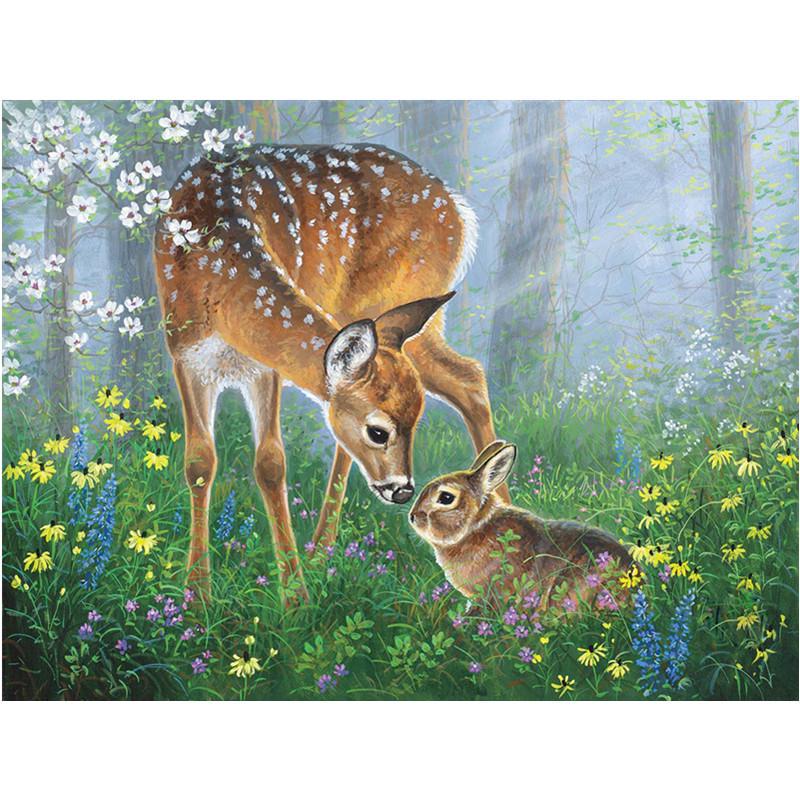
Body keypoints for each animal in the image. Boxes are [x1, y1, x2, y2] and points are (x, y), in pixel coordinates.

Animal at [154, 142, 509, 602]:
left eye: (418, 423)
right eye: (378, 431)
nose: (403, 489)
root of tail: (457, 209)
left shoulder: (267, 368)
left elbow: (270, 463)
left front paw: (294, 597)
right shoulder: (186, 356)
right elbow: (199, 463)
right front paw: (196, 596)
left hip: (393, 298)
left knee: (469, 375)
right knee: (467, 377)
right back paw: (321, 550)